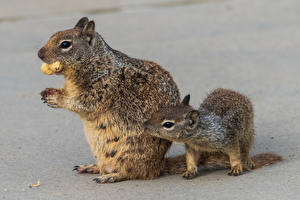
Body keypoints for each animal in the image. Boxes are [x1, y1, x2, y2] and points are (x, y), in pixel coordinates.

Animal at [37, 17, 182, 183]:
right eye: (52, 36)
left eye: (65, 44)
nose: (39, 54)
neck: (96, 60)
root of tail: (159, 164)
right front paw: (48, 91)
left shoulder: (101, 90)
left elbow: (82, 104)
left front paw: (57, 99)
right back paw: (92, 167)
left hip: (131, 152)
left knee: (134, 172)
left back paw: (111, 176)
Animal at [144, 88, 282, 179]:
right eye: (160, 110)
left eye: (168, 124)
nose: (145, 124)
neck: (201, 130)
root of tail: (235, 92)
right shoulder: (192, 147)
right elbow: (191, 159)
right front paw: (190, 171)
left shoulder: (229, 138)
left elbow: (235, 155)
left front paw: (236, 167)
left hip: (248, 131)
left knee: (245, 148)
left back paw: (248, 160)